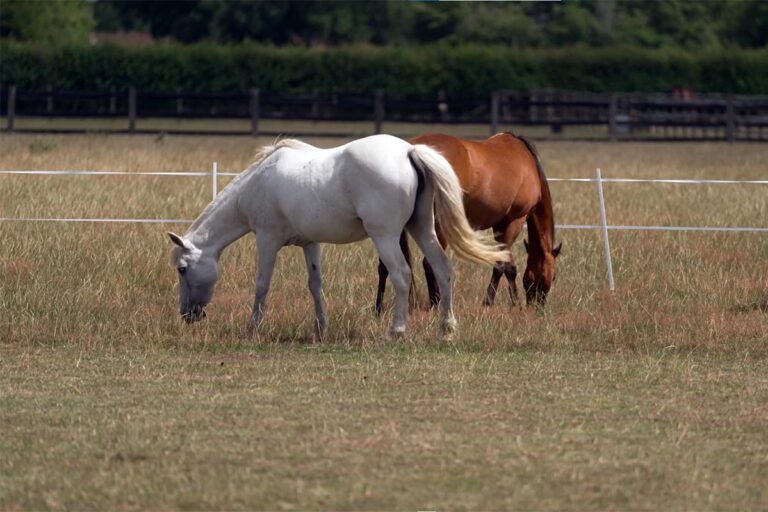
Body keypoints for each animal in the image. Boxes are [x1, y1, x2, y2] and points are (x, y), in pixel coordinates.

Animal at [168, 134, 509, 340]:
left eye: (182, 269)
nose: (187, 315)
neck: (258, 183)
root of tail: (409, 151)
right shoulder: (310, 243)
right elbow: (315, 285)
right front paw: (321, 328)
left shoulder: (267, 240)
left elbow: (262, 284)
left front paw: (251, 328)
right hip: (422, 229)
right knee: (442, 269)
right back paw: (446, 329)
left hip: (386, 237)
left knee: (401, 275)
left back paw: (396, 331)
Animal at [375, 132, 560, 314]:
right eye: (553, 276)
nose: (537, 308)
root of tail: (412, 151)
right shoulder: (513, 222)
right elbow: (503, 266)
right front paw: (497, 303)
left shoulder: (499, 225)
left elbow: (506, 266)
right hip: (439, 226)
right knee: (429, 263)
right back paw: (436, 304)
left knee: (385, 266)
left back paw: (378, 308)